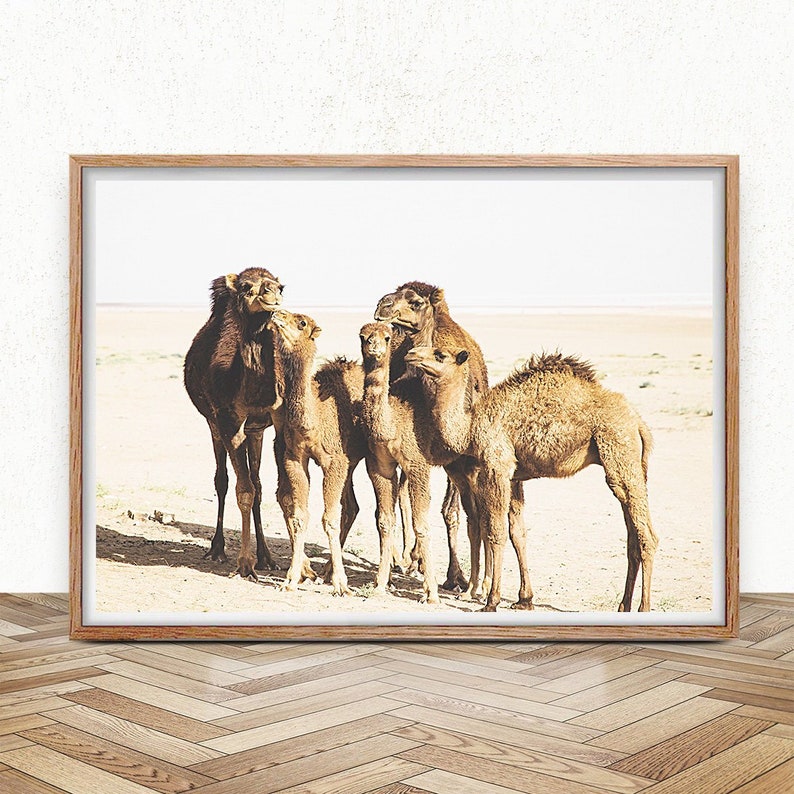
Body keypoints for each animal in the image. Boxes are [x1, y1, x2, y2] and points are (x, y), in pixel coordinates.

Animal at [183, 267, 313, 583]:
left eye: (280, 286)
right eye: (245, 287)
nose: (270, 293)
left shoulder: (277, 423)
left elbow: (283, 493)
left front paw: (302, 567)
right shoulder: (229, 421)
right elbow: (243, 490)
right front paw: (244, 563)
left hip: (255, 432)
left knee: (259, 485)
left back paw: (265, 556)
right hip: (213, 424)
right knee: (223, 481)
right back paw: (218, 549)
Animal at [267, 310, 367, 595]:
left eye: (302, 322)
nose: (277, 313)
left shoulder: (334, 461)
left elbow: (329, 519)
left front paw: (342, 584)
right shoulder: (294, 458)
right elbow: (300, 516)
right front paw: (291, 580)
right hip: (350, 464)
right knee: (351, 506)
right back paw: (325, 571)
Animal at [374, 281, 490, 590]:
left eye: (415, 302)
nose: (382, 305)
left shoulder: (456, 455)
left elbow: (451, 512)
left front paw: (455, 576)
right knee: (400, 497)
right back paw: (403, 558)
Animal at [405, 346, 658, 613]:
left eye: (440, 355)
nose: (411, 353)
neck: (471, 426)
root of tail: (639, 423)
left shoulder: (497, 465)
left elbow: (496, 532)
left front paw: (491, 601)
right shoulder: (514, 476)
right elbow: (518, 533)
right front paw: (523, 600)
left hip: (619, 451)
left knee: (647, 536)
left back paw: (643, 607)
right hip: (630, 466)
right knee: (632, 536)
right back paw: (623, 605)